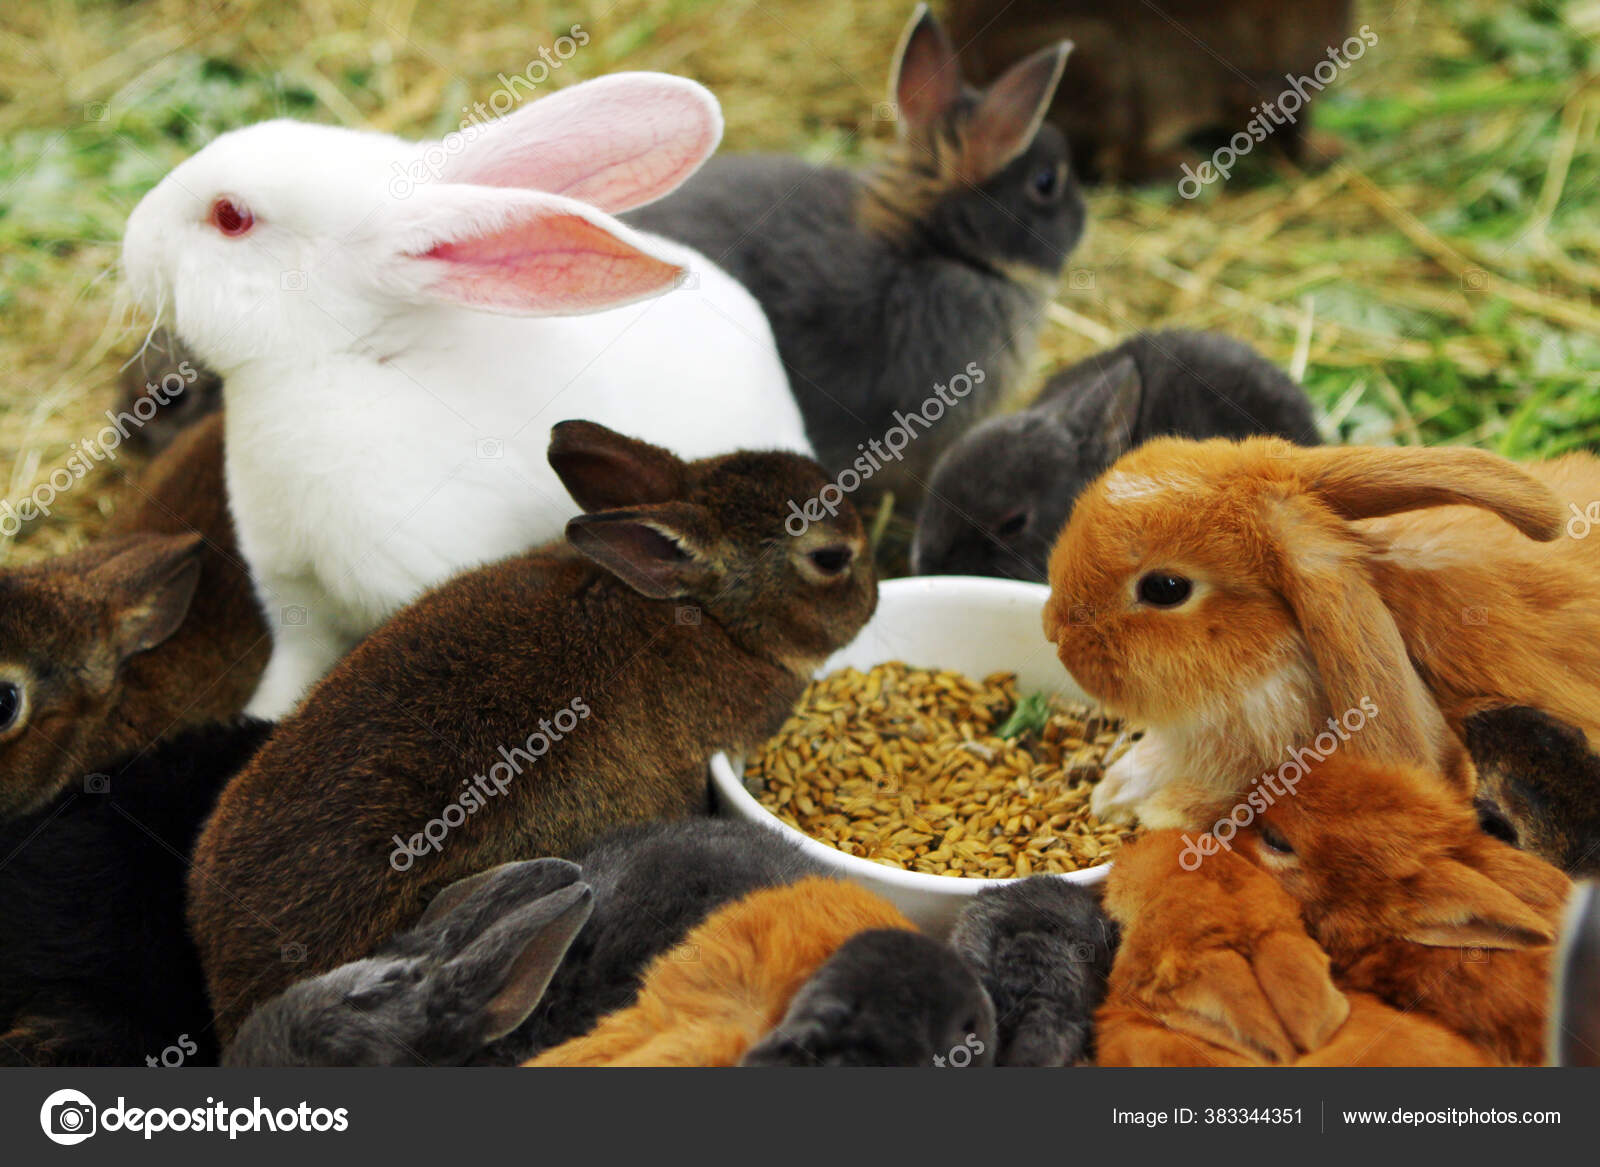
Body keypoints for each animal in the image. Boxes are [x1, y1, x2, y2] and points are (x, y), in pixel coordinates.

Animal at [945, 0, 1357, 184]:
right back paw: (1180, 163)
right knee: (1109, 159)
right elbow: (1292, 136)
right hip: (1100, 61)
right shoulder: (1277, 87)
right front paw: (1330, 152)